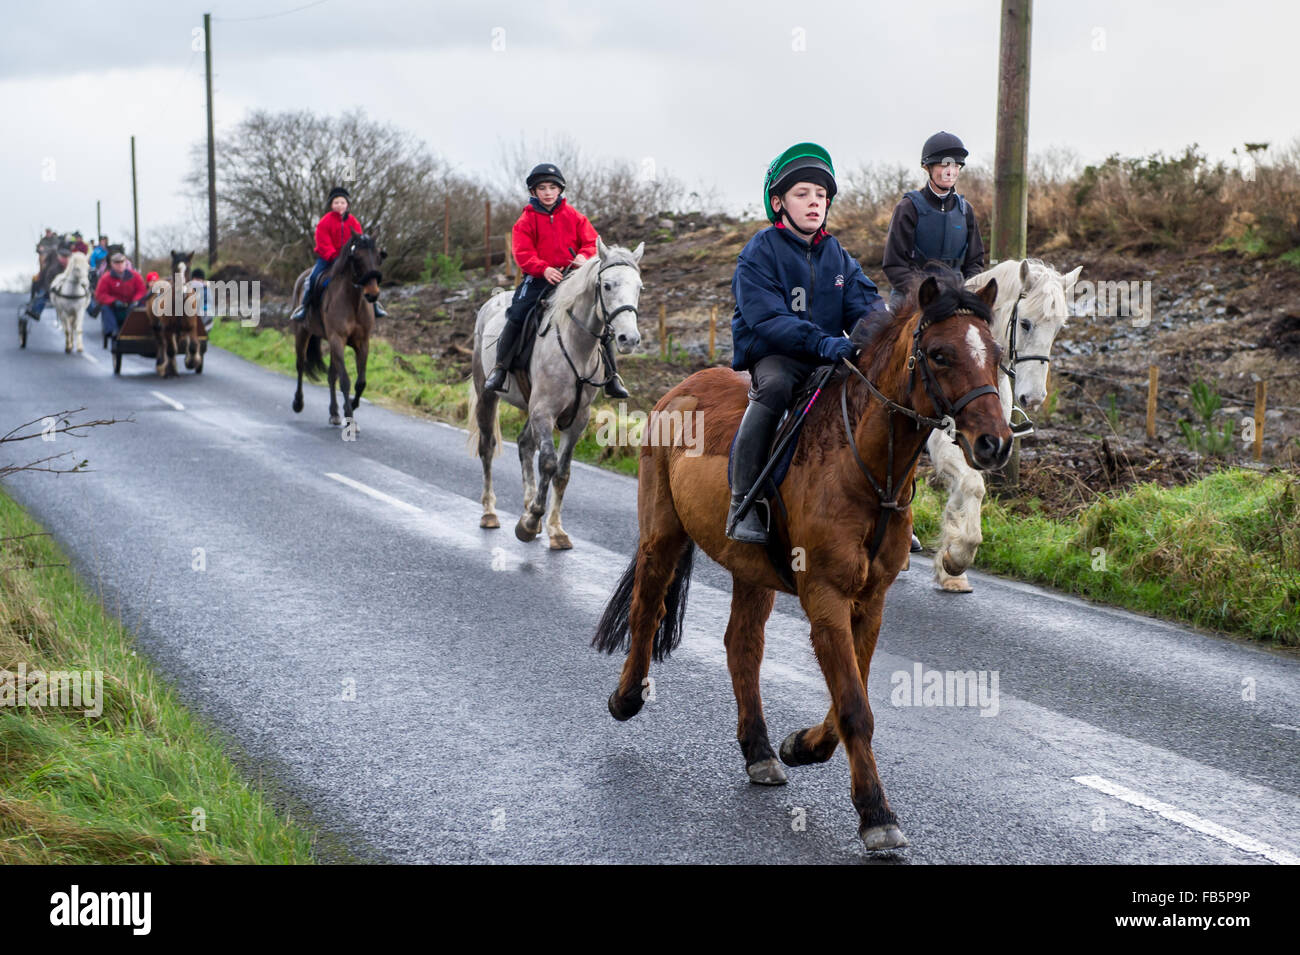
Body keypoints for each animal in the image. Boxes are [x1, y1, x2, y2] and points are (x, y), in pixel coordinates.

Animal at [291, 233, 385, 430]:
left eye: (378, 258)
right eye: (357, 259)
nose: (372, 294)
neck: (353, 301)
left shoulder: (362, 343)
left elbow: (360, 382)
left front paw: (352, 405)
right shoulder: (337, 339)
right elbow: (345, 381)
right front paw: (349, 416)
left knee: (331, 376)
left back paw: (334, 413)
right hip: (302, 332)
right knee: (300, 365)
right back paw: (298, 403)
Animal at [467, 238, 644, 550]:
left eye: (639, 287)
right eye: (607, 285)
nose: (629, 339)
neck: (577, 346)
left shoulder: (577, 419)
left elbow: (562, 472)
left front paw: (554, 530)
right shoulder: (544, 411)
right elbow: (548, 462)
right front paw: (530, 522)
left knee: (525, 444)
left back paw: (526, 507)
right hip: (487, 396)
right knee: (487, 447)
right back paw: (490, 513)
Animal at [592, 272, 1012, 851]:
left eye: (995, 354)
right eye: (941, 354)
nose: (995, 443)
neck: (864, 463)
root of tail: (678, 390)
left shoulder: (870, 602)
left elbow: (849, 698)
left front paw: (801, 746)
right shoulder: (826, 597)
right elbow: (855, 706)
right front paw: (876, 814)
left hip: (751, 570)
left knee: (742, 647)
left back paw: (760, 751)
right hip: (662, 537)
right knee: (646, 610)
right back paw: (626, 698)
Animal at [926, 258, 1082, 593]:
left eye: (1057, 328)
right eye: (1025, 323)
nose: (1033, 397)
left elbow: (962, 494)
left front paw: (950, 564)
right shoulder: (943, 443)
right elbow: (973, 486)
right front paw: (959, 556)